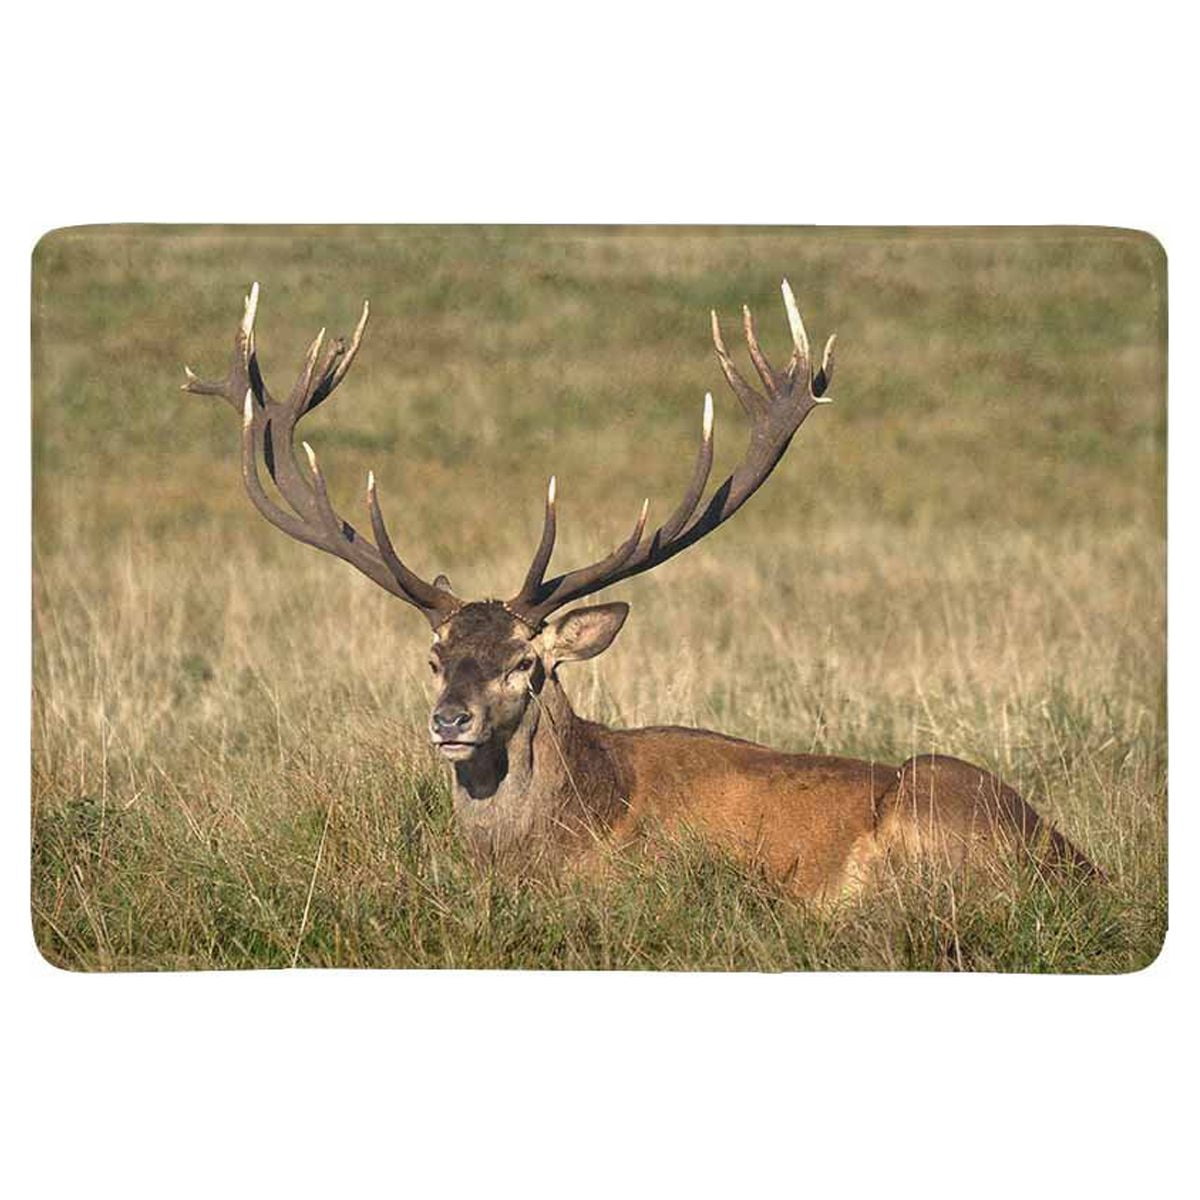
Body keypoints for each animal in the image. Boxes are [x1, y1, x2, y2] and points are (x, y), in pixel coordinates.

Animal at [183, 280, 1100, 900]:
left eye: (526, 664)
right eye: (435, 655)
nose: (451, 721)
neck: (551, 842)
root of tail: (1077, 864)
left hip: (929, 810)